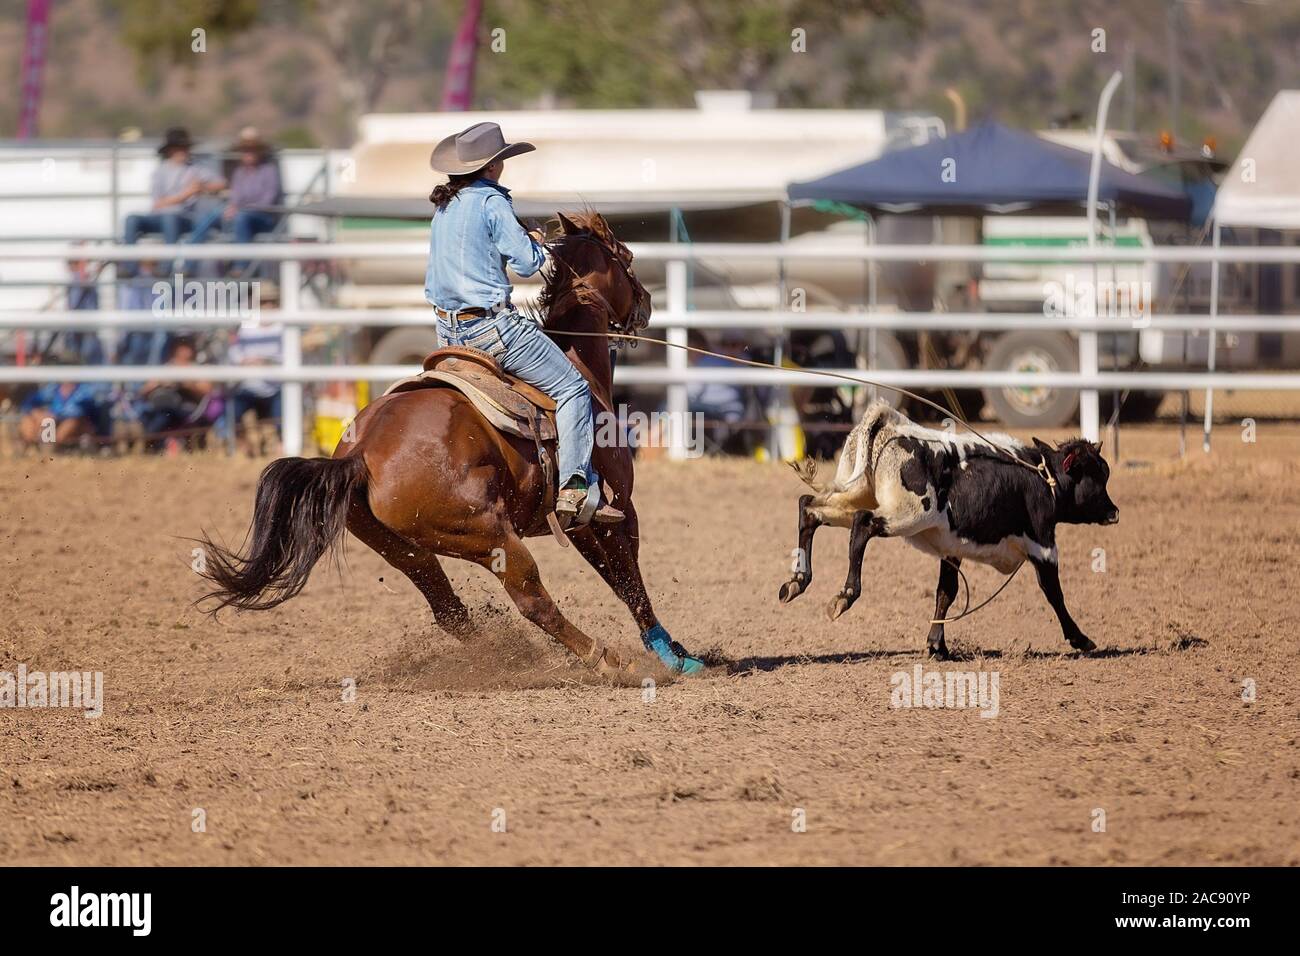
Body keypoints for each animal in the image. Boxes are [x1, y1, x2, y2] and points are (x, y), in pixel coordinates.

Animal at [777, 401, 1119, 659]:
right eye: (1097, 477)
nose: (1114, 511)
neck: (1043, 478)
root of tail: (894, 428)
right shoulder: (1043, 546)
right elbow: (1055, 594)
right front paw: (1081, 639)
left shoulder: (952, 549)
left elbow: (946, 592)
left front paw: (937, 645)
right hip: (906, 515)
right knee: (863, 523)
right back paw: (845, 595)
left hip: (853, 496)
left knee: (809, 508)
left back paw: (797, 581)